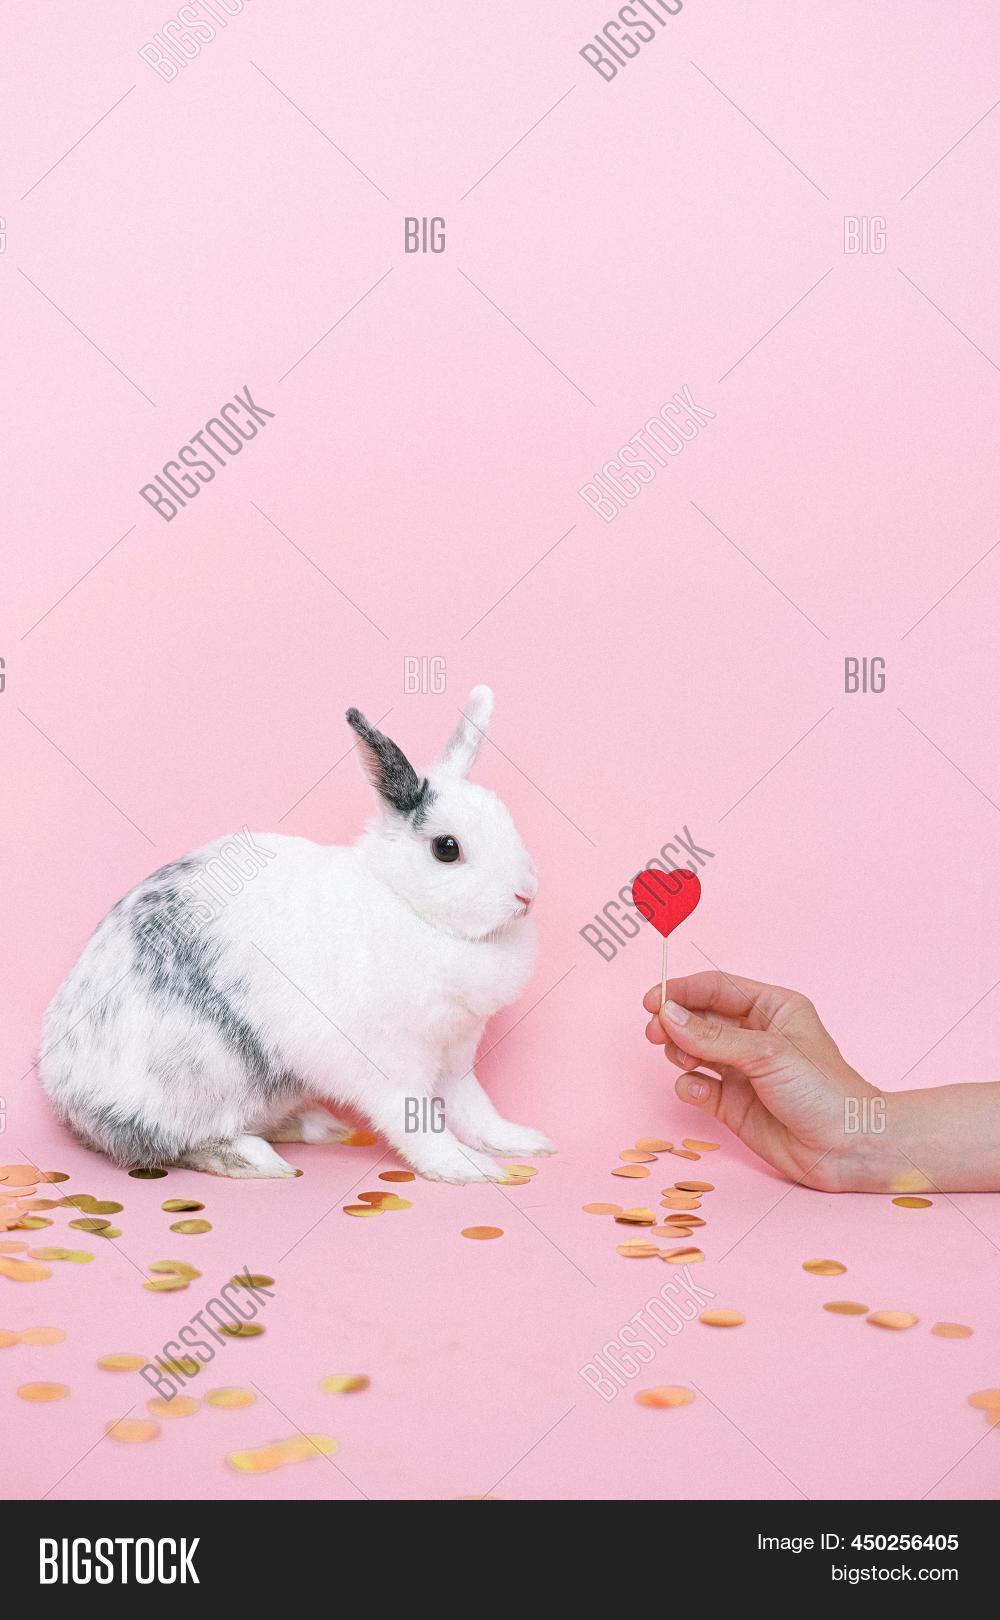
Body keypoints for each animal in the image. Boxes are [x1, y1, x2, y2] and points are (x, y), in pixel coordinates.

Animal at [38, 686, 554, 1181]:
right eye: (447, 848)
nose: (526, 894)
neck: (405, 904)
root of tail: (64, 1095)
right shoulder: (389, 1064)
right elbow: (415, 1120)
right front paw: (465, 1168)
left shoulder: (455, 1056)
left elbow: (474, 1108)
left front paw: (517, 1143)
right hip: (197, 1080)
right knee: (171, 1142)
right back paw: (260, 1160)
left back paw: (316, 1126)